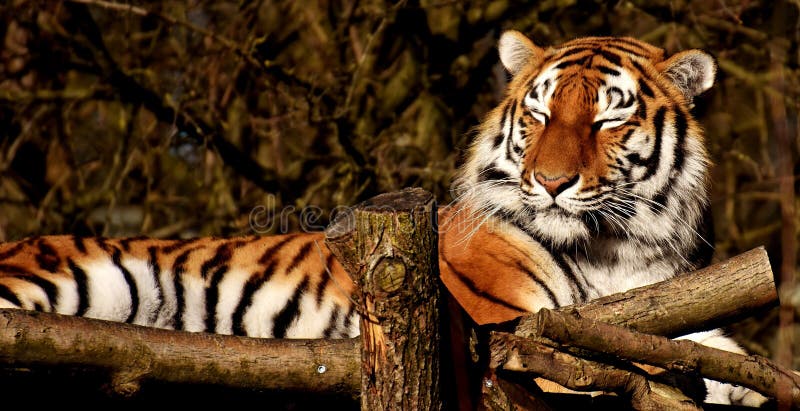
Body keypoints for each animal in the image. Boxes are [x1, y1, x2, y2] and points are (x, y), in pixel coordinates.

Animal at [0, 31, 766, 406]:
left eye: (608, 118)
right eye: (541, 114)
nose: (550, 183)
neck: (617, 250)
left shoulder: (682, 316)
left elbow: (731, 358)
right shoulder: (514, 338)